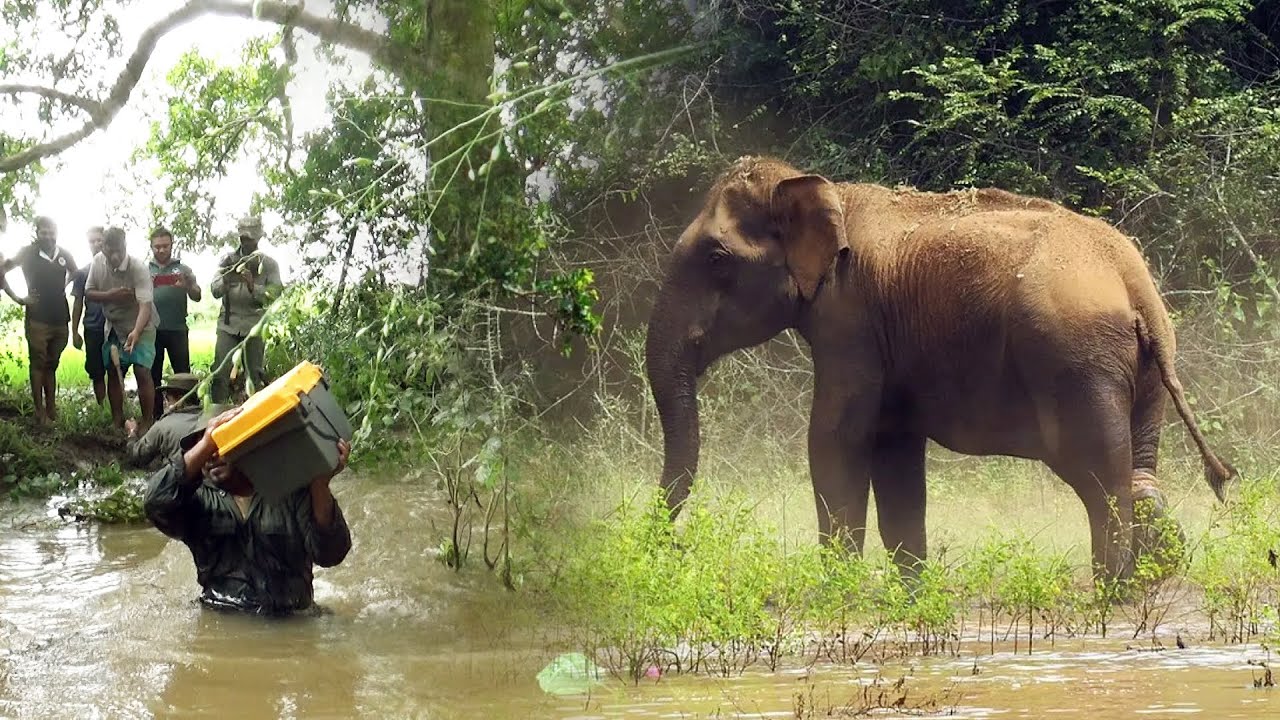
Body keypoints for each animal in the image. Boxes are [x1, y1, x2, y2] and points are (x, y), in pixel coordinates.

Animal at [644, 155, 1236, 581]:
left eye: (716, 258)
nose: (673, 549)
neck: (827, 190)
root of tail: (1134, 286)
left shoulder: (850, 319)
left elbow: (835, 438)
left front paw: (835, 594)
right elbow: (895, 450)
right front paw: (912, 595)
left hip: (1077, 361)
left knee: (1100, 481)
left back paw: (1110, 595)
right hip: (1143, 368)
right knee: (1138, 475)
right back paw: (1146, 583)